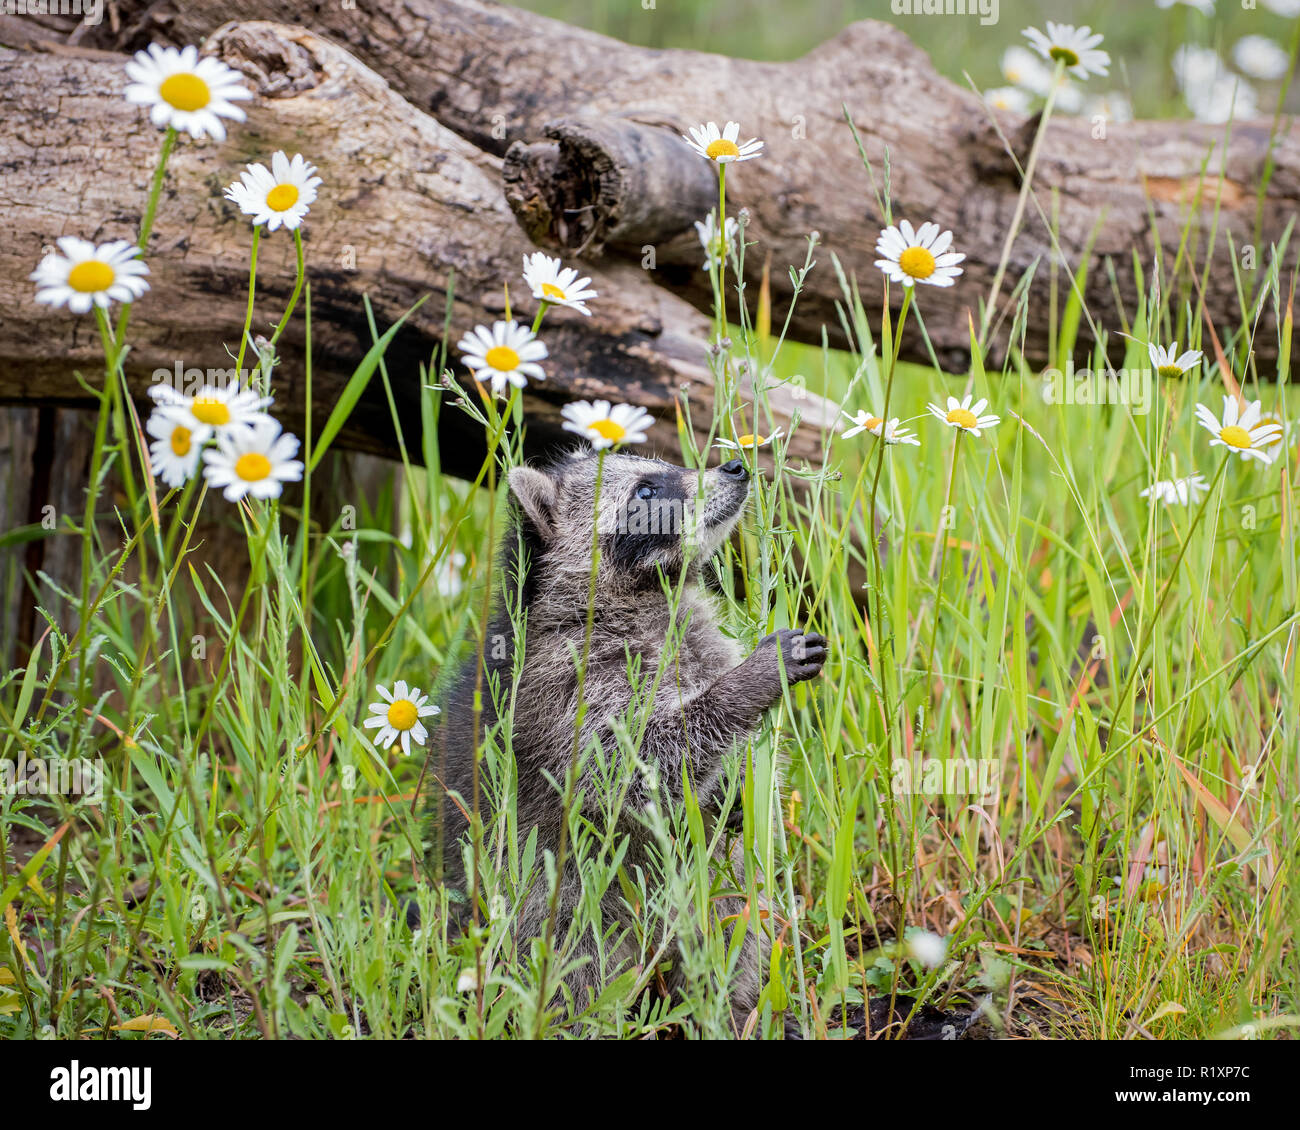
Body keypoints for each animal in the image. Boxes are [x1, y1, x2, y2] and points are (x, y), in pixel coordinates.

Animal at [428, 449, 826, 1024]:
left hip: (714, 895)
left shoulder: (699, 641)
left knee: (734, 920)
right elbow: (633, 767)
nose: (734, 467)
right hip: (553, 902)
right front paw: (745, 684)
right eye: (645, 491)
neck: (647, 593)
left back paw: (730, 1005)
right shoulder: (570, 688)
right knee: (575, 960)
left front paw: (739, 777)